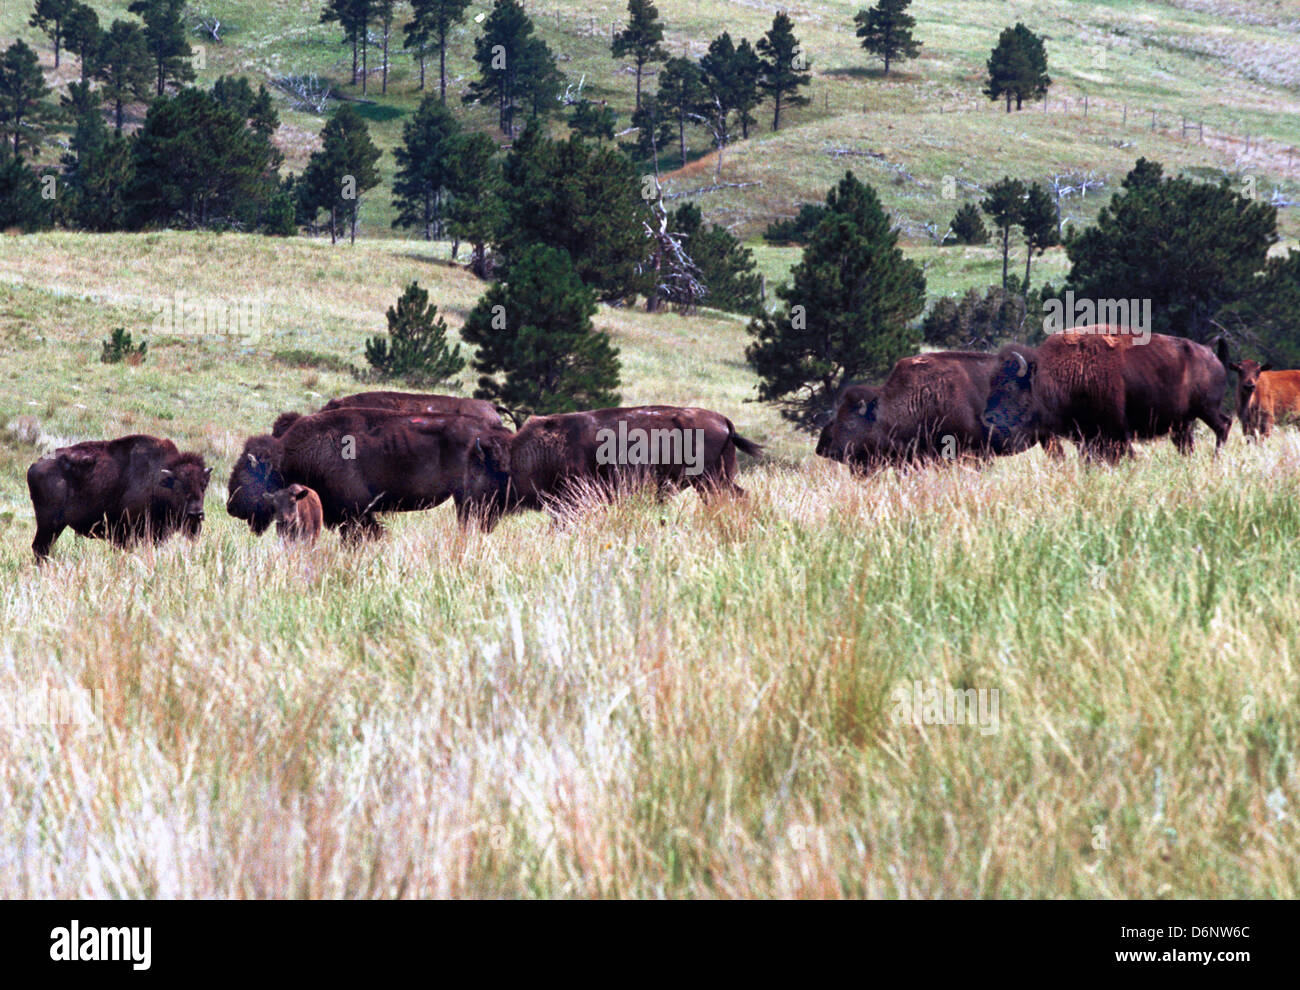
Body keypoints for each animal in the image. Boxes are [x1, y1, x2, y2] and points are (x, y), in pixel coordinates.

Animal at [27, 435, 212, 560]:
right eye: (179, 488)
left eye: (204, 485)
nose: (196, 514)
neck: (160, 480)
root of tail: (35, 465)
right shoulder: (125, 533)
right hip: (48, 524)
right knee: (39, 548)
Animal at [981, 326, 1231, 461]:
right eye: (992, 383)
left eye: (1010, 387)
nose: (988, 418)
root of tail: (1207, 349)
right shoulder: (1084, 435)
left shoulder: (1114, 430)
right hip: (1181, 423)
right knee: (1188, 443)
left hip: (1207, 409)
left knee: (1224, 425)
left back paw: (1216, 458)